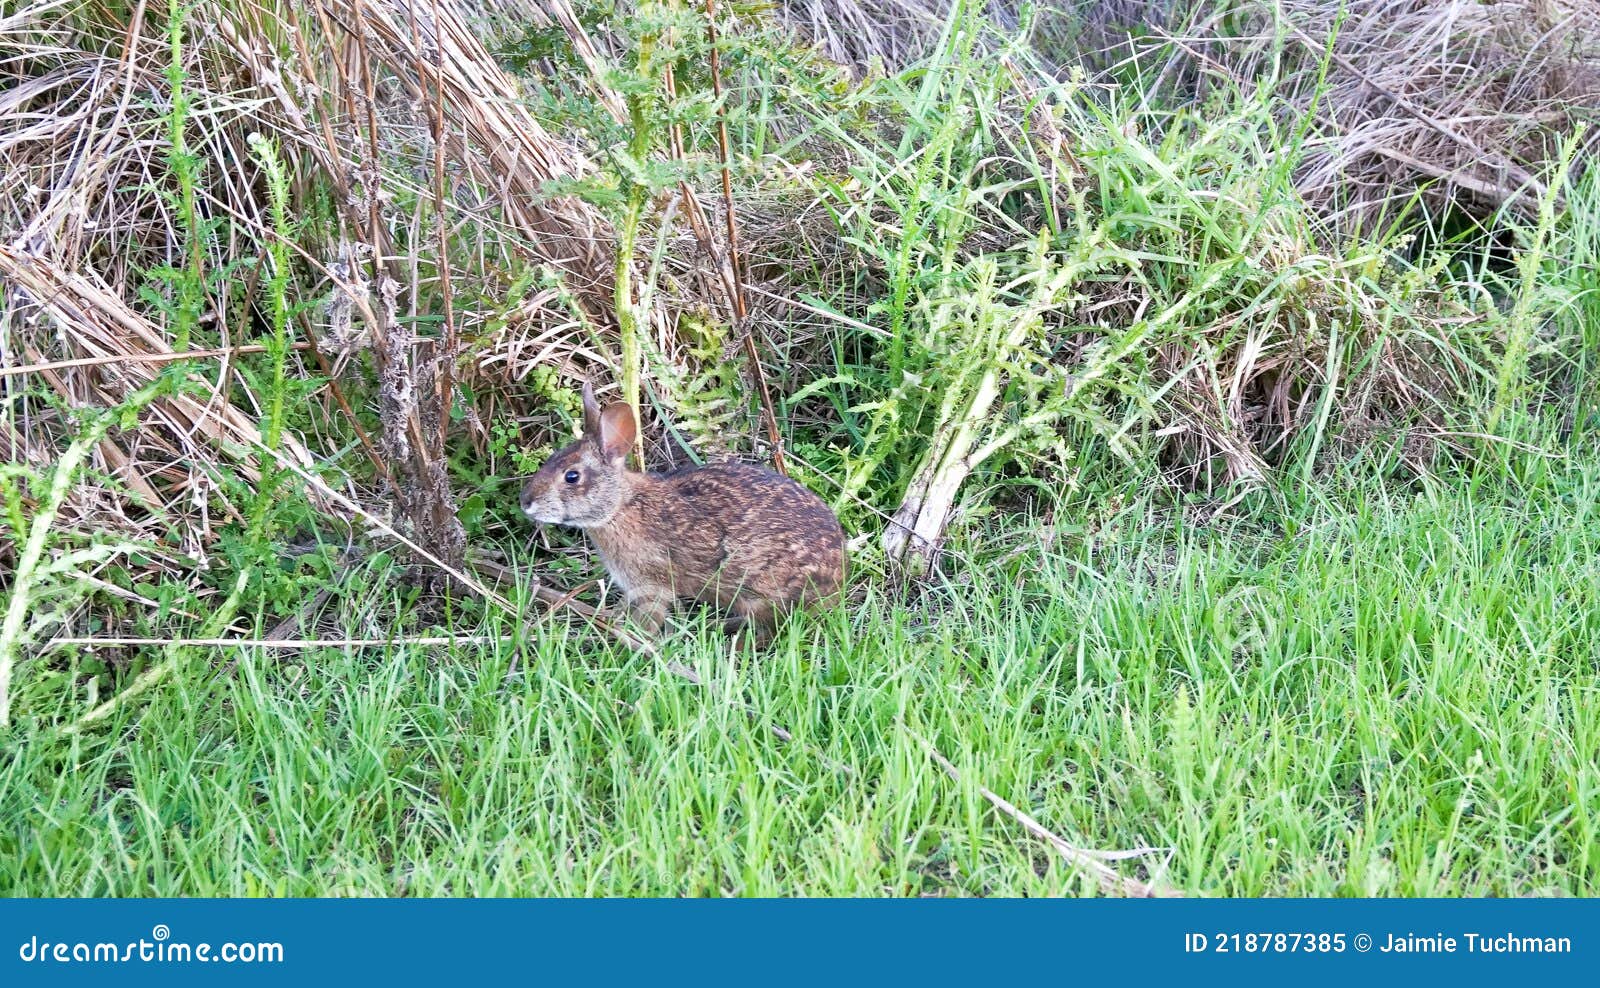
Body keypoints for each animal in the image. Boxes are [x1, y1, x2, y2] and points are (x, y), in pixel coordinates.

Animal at [521, 381, 845, 643]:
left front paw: (633, 642)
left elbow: (649, 618)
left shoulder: (651, 586)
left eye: (572, 477)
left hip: (762, 593)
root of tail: (840, 575)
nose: (526, 502)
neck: (620, 508)